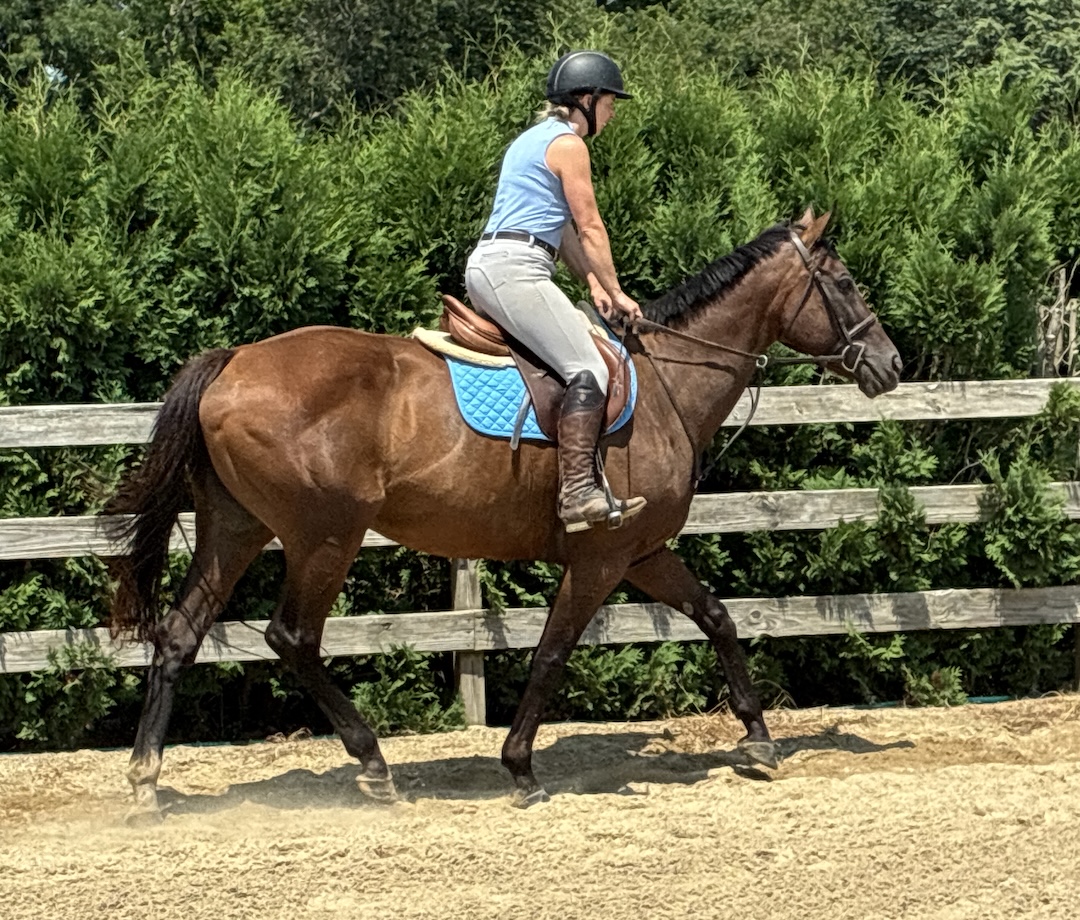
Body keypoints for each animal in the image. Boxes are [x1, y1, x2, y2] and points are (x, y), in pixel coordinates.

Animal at [105, 208, 902, 819]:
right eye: (843, 282)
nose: (891, 364)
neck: (669, 382)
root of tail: (234, 361)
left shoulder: (642, 552)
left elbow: (716, 617)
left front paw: (759, 738)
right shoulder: (601, 557)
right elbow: (552, 652)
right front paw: (519, 768)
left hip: (237, 527)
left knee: (179, 636)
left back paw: (145, 785)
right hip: (324, 536)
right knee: (292, 637)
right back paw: (374, 766)